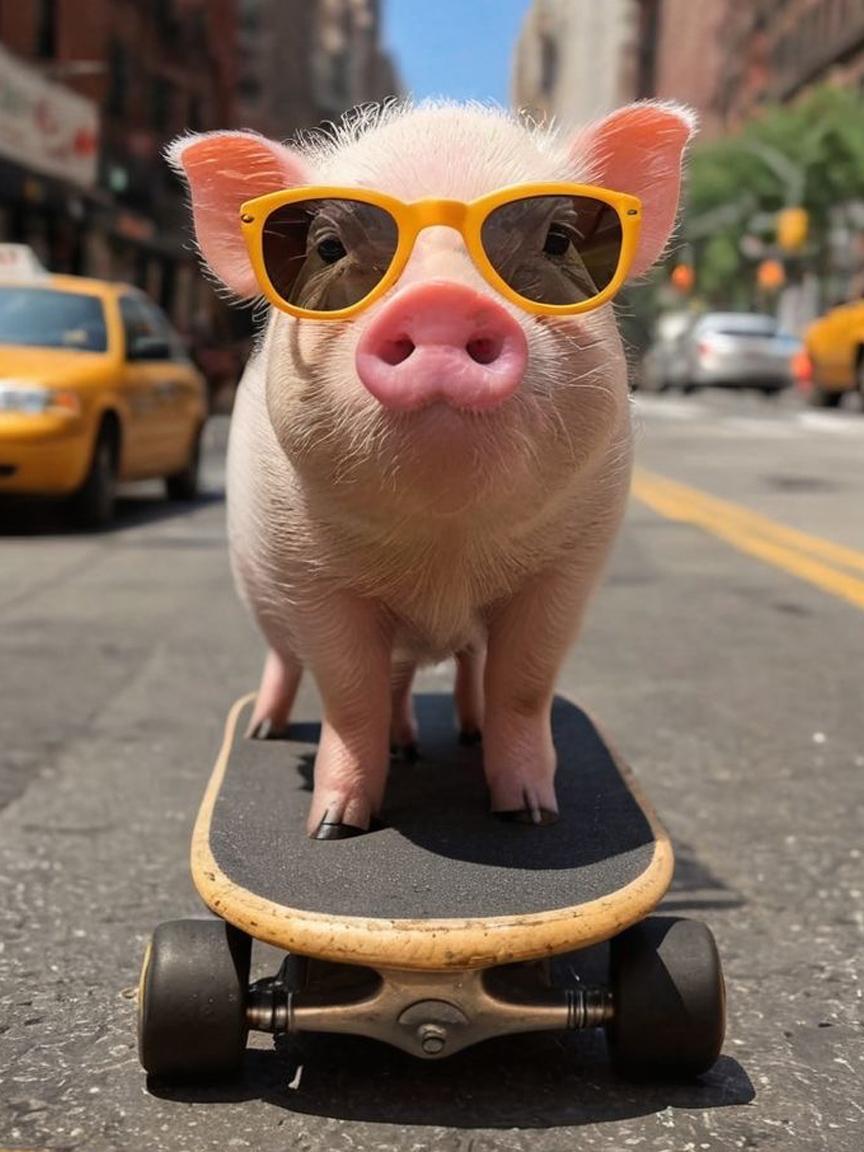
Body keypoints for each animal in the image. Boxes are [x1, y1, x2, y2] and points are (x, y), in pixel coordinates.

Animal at [168, 99, 694, 839]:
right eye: (329, 247)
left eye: (558, 239)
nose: (443, 302)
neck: (445, 547)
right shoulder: (310, 580)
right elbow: (349, 696)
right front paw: (332, 828)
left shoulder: (568, 571)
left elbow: (524, 686)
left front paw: (532, 815)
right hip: (259, 590)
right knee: (293, 662)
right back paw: (270, 732)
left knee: (460, 671)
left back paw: (450, 738)